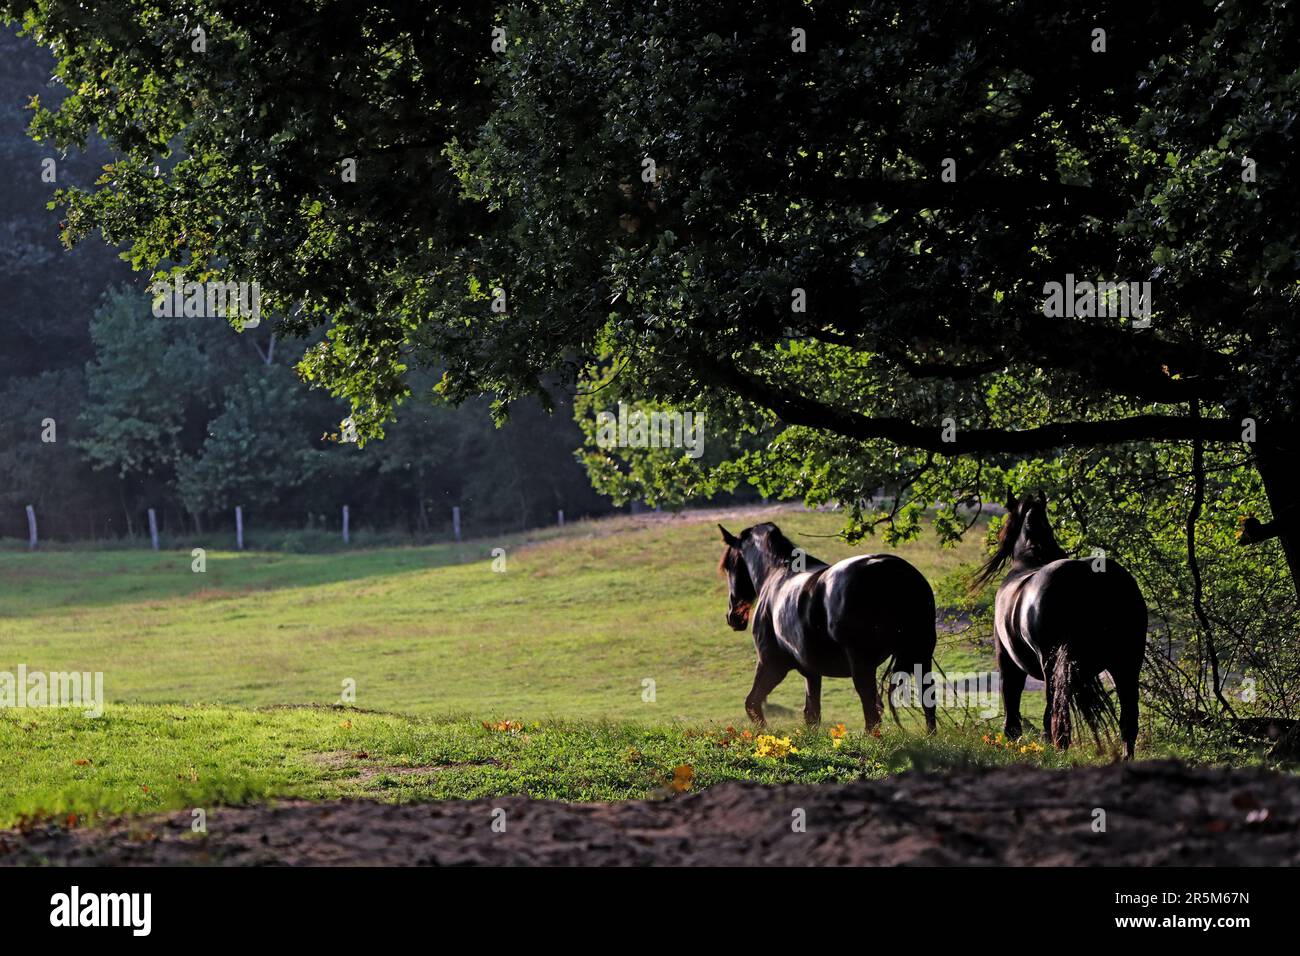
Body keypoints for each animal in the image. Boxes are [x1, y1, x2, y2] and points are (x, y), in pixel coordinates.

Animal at [718, 521, 937, 734]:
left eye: (729, 566)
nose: (732, 617)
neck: (776, 574)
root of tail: (891, 570)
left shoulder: (771, 664)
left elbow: (752, 703)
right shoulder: (811, 672)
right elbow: (812, 714)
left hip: (862, 664)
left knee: (871, 710)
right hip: (921, 655)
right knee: (927, 699)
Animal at [973, 492, 1147, 758]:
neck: (1030, 559)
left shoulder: (1007, 660)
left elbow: (1012, 702)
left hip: (1053, 663)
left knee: (1056, 712)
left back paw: (1057, 750)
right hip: (1127, 664)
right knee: (1128, 720)